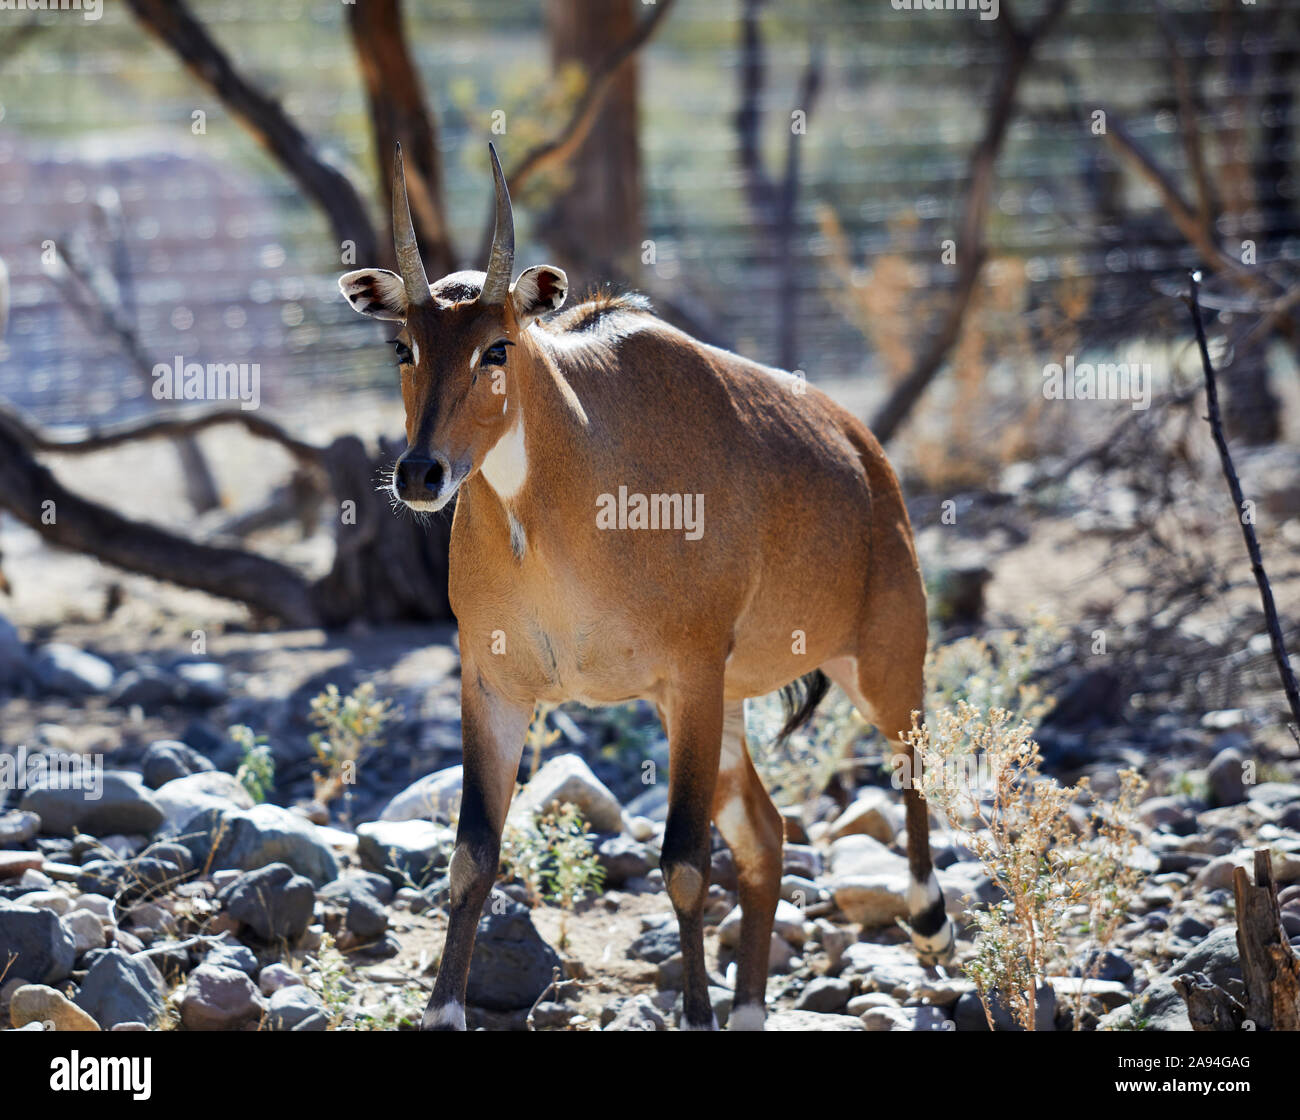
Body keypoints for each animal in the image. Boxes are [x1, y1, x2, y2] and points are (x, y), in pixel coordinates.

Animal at [339, 144, 953, 1031]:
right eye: (404, 349)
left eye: (498, 347)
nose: (422, 473)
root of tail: (866, 452)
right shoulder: (495, 683)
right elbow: (471, 856)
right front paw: (445, 1009)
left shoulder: (690, 672)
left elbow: (685, 864)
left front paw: (694, 1012)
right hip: (715, 705)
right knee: (765, 832)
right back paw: (750, 1008)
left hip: (873, 662)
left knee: (911, 762)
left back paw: (932, 920)